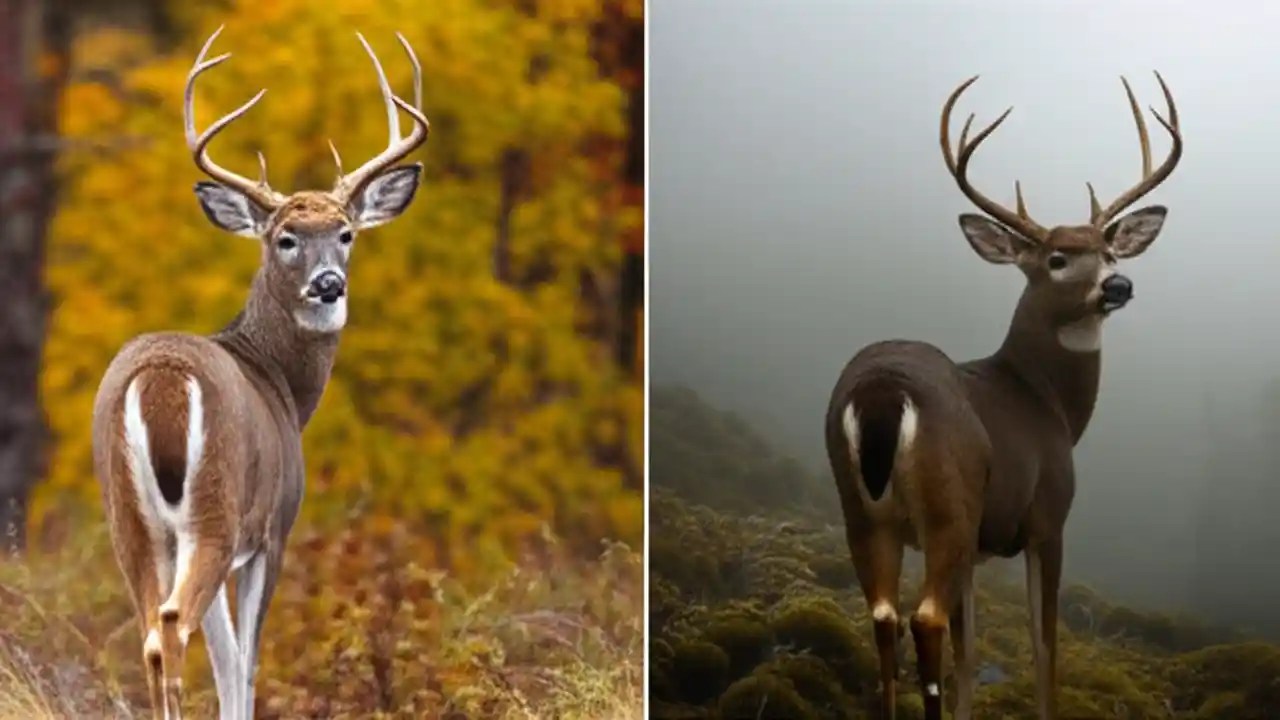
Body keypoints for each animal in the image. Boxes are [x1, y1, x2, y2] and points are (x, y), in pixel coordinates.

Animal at [91, 26, 428, 720]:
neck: (283, 388)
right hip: (215, 511)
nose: (328, 284)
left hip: (129, 519)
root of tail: (161, 377)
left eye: (346, 233)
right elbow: (243, 666)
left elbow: (228, 663)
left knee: (151, 630)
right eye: (285, 238)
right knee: (172, 626)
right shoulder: (272, 529)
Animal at [824, 72, 1182, 720]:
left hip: (860, 507)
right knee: (925, 619)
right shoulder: (1047, 518)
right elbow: (1044, 649)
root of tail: (883, 391)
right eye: (1057, 258)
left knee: (885, 616)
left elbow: (969, 658)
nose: (1118, 284)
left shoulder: (979, 549)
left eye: (1110, 251)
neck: (1049, 403)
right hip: (950, 504)